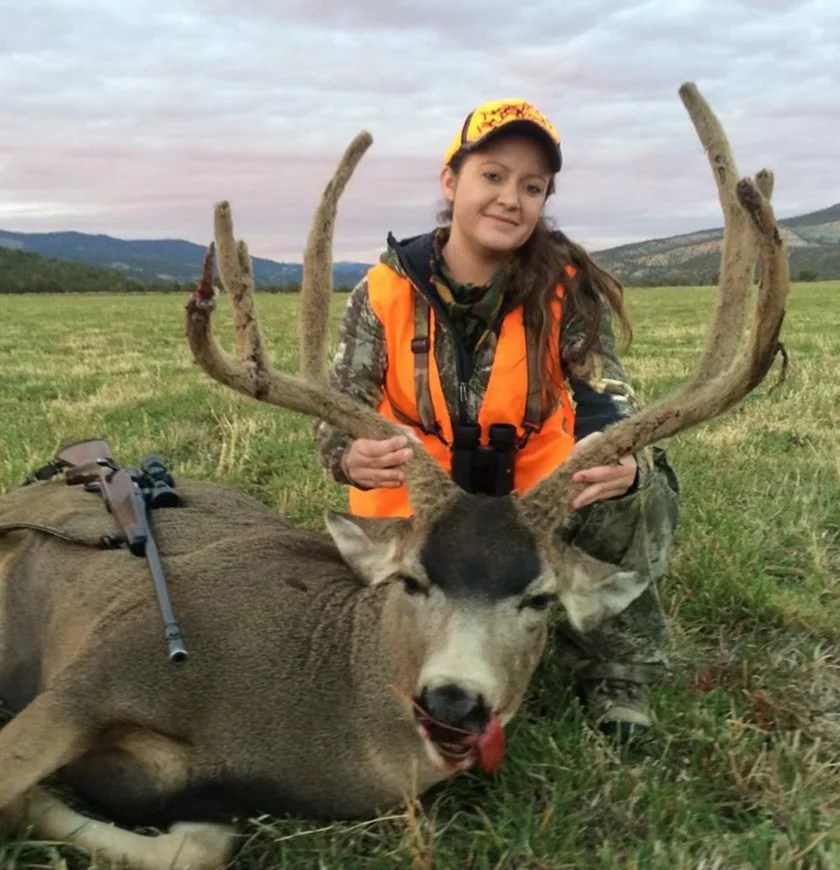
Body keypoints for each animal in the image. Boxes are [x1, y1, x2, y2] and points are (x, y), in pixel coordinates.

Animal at [0, 83, 788, 869]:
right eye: (412, 580)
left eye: (540, 599)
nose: (453, 700)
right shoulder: (98, 671)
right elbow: (17, 781)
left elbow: (200, 841)